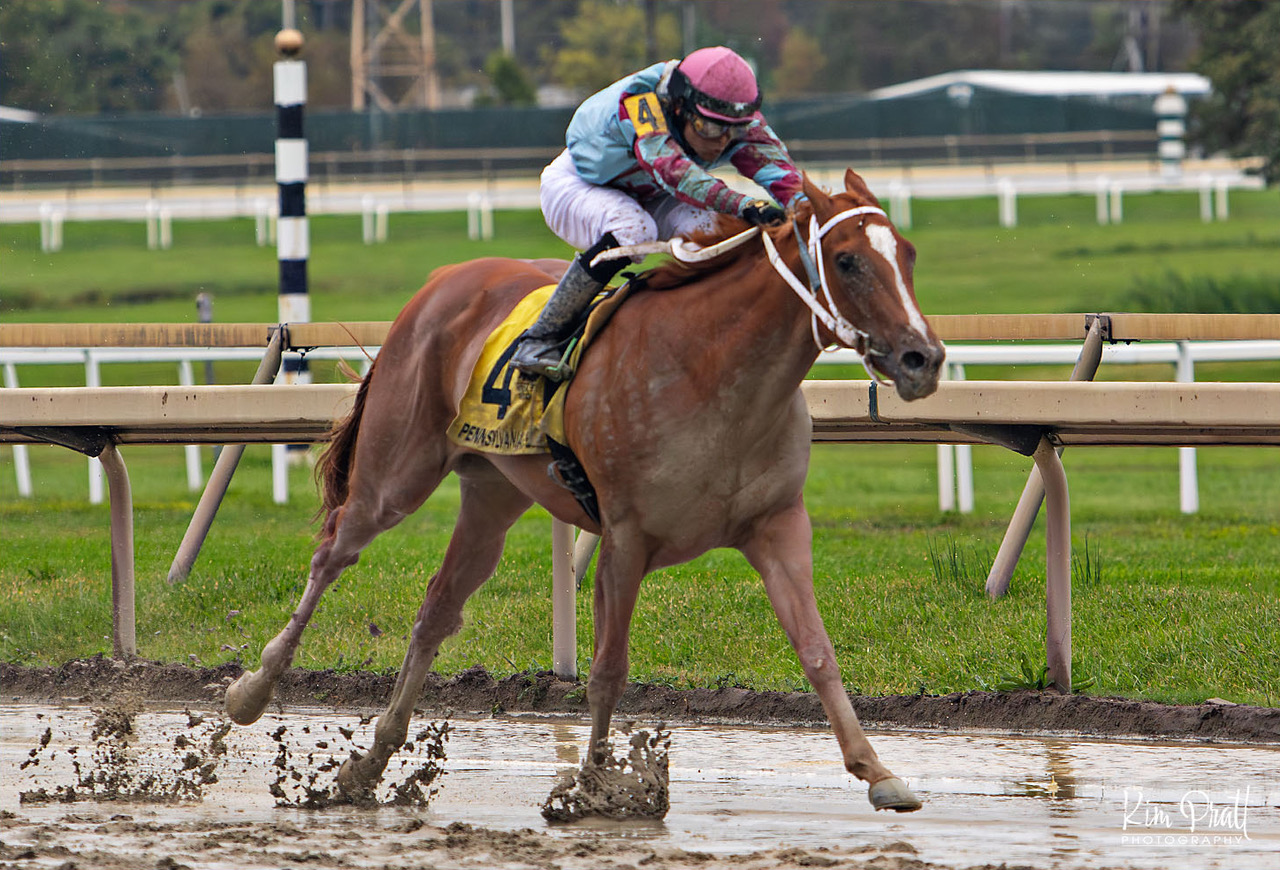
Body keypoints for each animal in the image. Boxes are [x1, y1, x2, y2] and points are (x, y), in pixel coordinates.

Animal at [224, 168, 945, 813]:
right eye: (847, 261)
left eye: (909, 255)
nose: (925, 358)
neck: (714, 373)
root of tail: (439, 281)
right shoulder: (625, 539)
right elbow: (608, 669)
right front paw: (594, 786)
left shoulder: (777, 525)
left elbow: (818, 653)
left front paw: (879, 772)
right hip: (394, 474)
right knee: (332, 553)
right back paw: (252, 691)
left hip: (494, 494)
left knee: (436, 608)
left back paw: (369, 763)